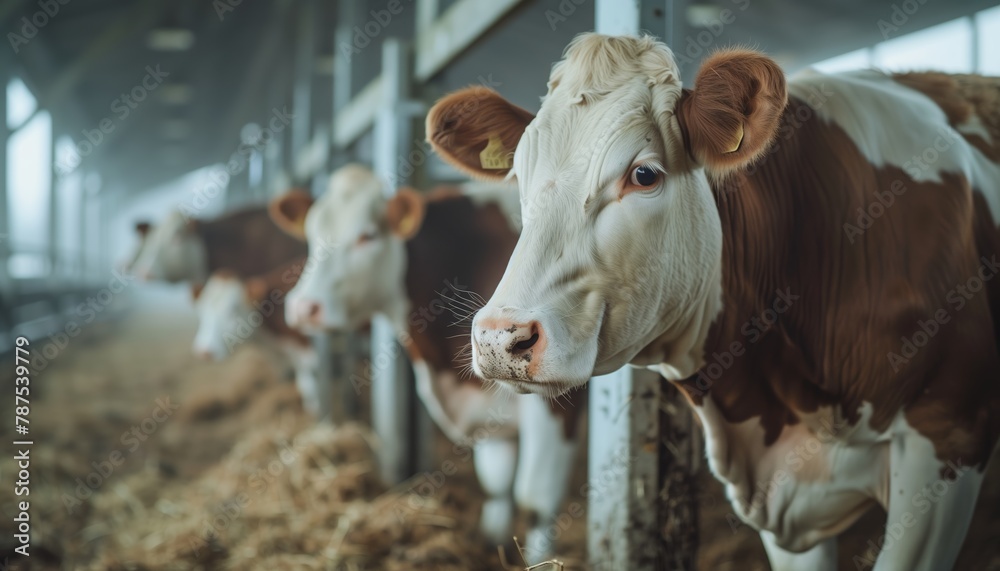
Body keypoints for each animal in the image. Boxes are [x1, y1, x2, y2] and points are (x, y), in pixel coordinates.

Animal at [269, 164, 584, 563]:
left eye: (367, 236)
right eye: (312, 236)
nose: (302, 307)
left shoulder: (556, 404)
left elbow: (536, 500)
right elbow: (496, 486)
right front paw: (489, 543)